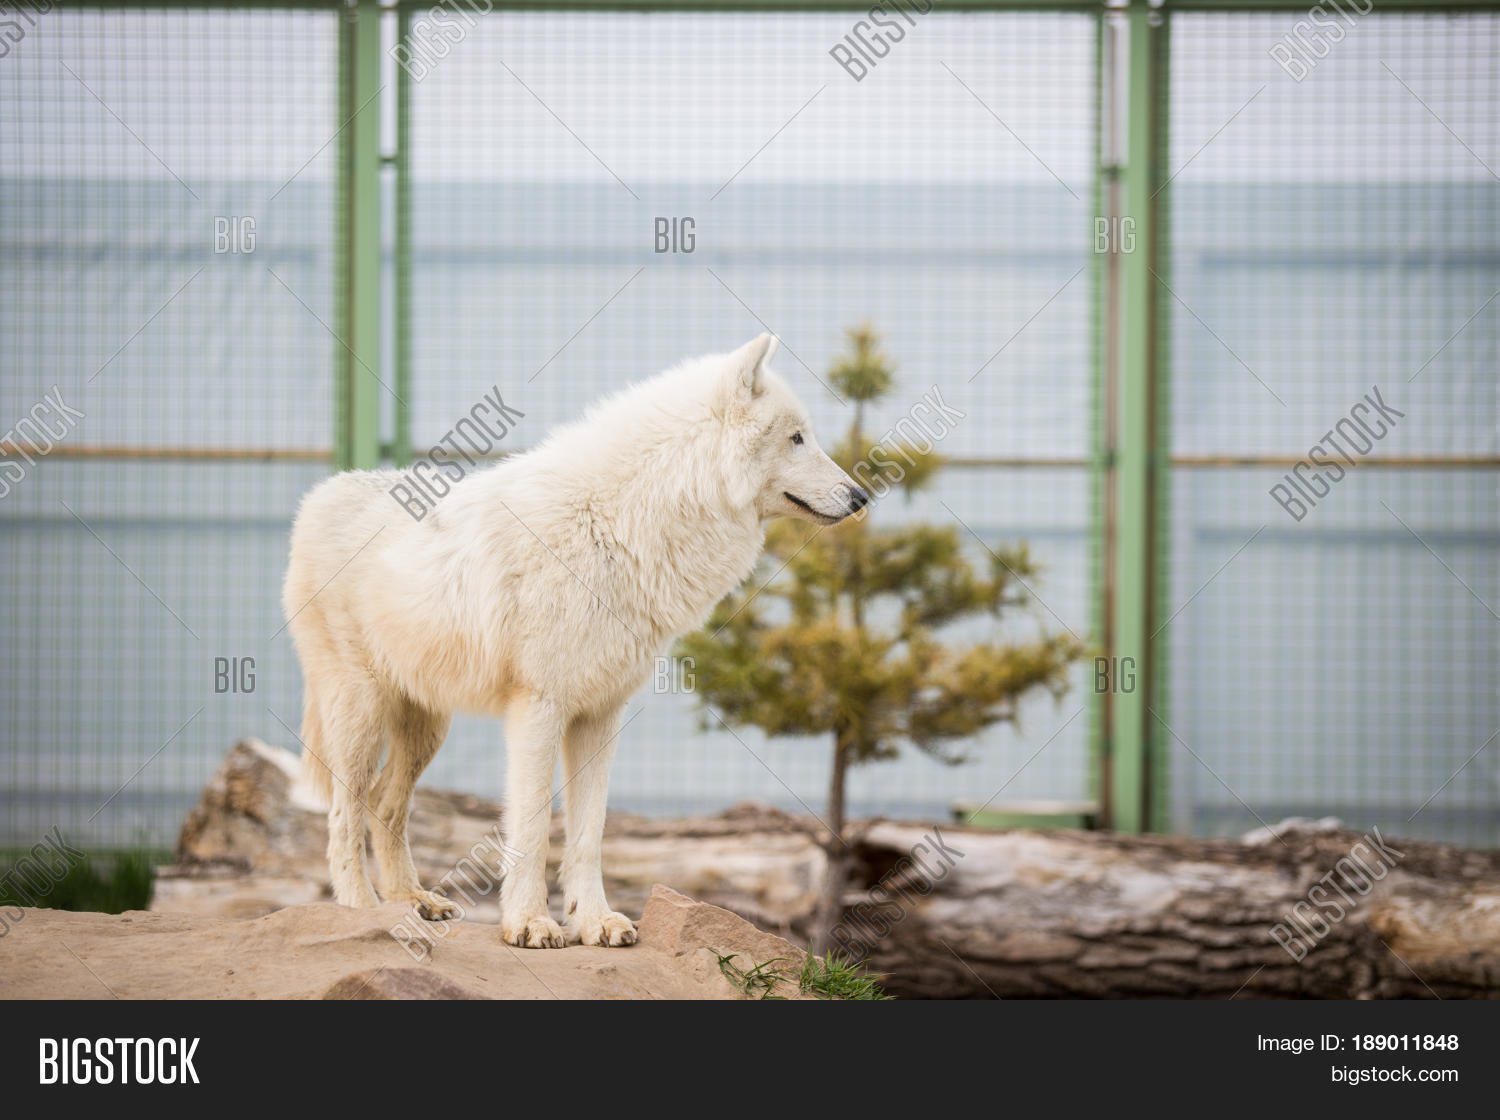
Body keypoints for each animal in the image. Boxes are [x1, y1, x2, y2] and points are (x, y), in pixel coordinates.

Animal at [283, 335, 867, 947]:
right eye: (797, 437)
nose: (861, 496)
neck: (618, 524)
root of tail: (321, 493)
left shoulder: (599, 713)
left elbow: (589, 833)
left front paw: (596, 921)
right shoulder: (539, 708)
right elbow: (534, 826)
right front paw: (529, 923)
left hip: (425, 726)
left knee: (384, 805)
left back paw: (413, 903)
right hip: (361, 713)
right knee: (343, 816)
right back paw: (361, 911)